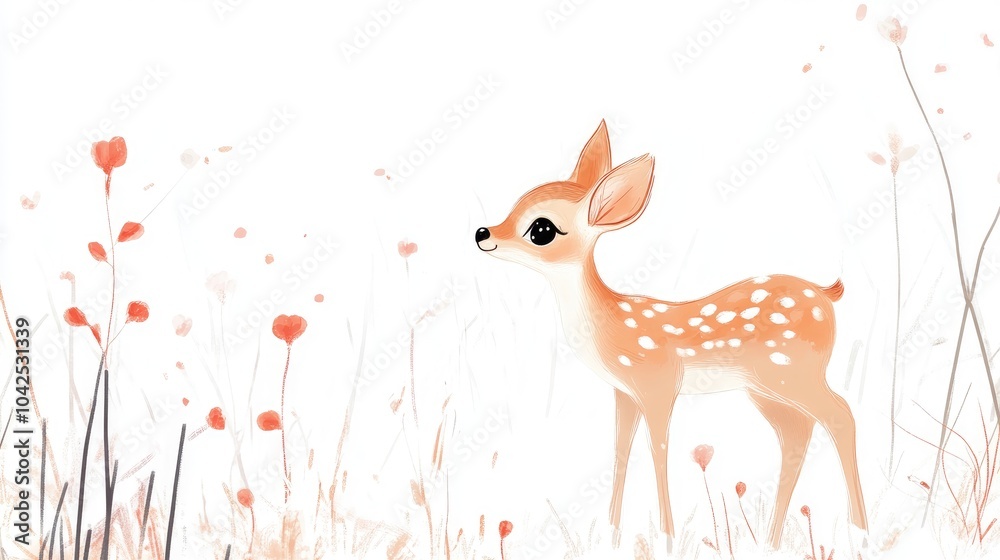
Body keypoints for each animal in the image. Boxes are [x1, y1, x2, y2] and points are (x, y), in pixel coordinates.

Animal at [475, 121, 868, 549]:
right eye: (519, 201)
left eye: (541, 229)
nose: (482, 233)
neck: (611, 322)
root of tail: (827, 294)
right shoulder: (624, 392)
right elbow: (621, 451)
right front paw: (613, 536)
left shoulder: (657, 383)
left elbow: (657, 450)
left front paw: (666, 536)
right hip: (765, 388)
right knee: (797, 435)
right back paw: (771, 540)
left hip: (793, 371)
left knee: (841, 415)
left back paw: (861, 531)